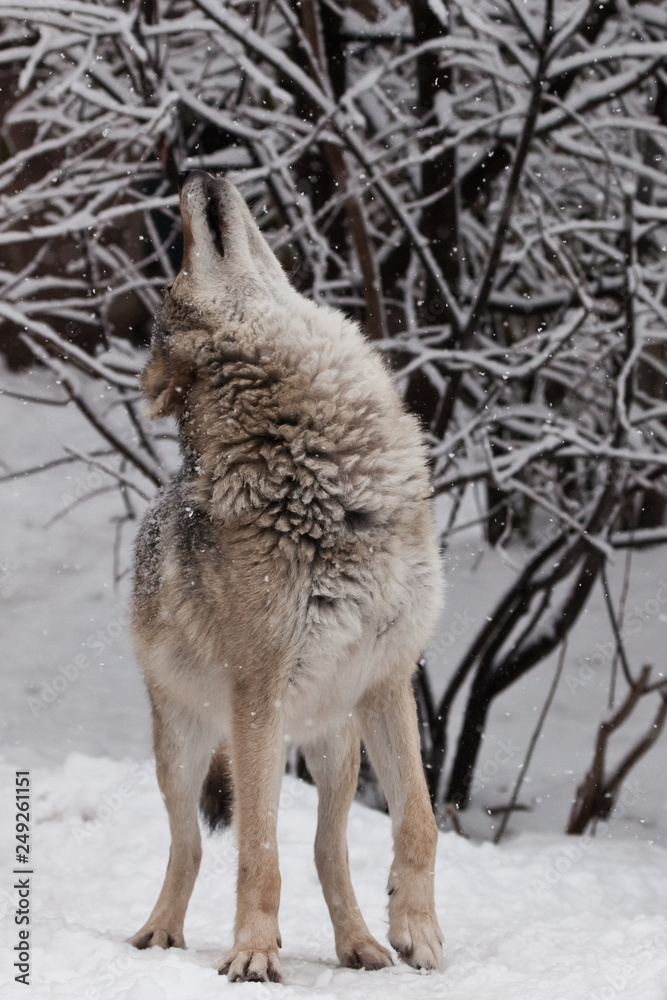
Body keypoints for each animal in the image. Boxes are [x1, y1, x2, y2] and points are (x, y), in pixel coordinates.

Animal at [127, 170, 445, 983]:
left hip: (336, 748)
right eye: (175, 276)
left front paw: (417, 932)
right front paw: (251, 954)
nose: (194, 174)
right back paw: (159, 934)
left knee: (329, 851)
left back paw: (361, 944)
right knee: (189, 843)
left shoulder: (388, 676)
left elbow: (419, 823)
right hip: (186, 747)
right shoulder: (257, 695)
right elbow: (257, 852)